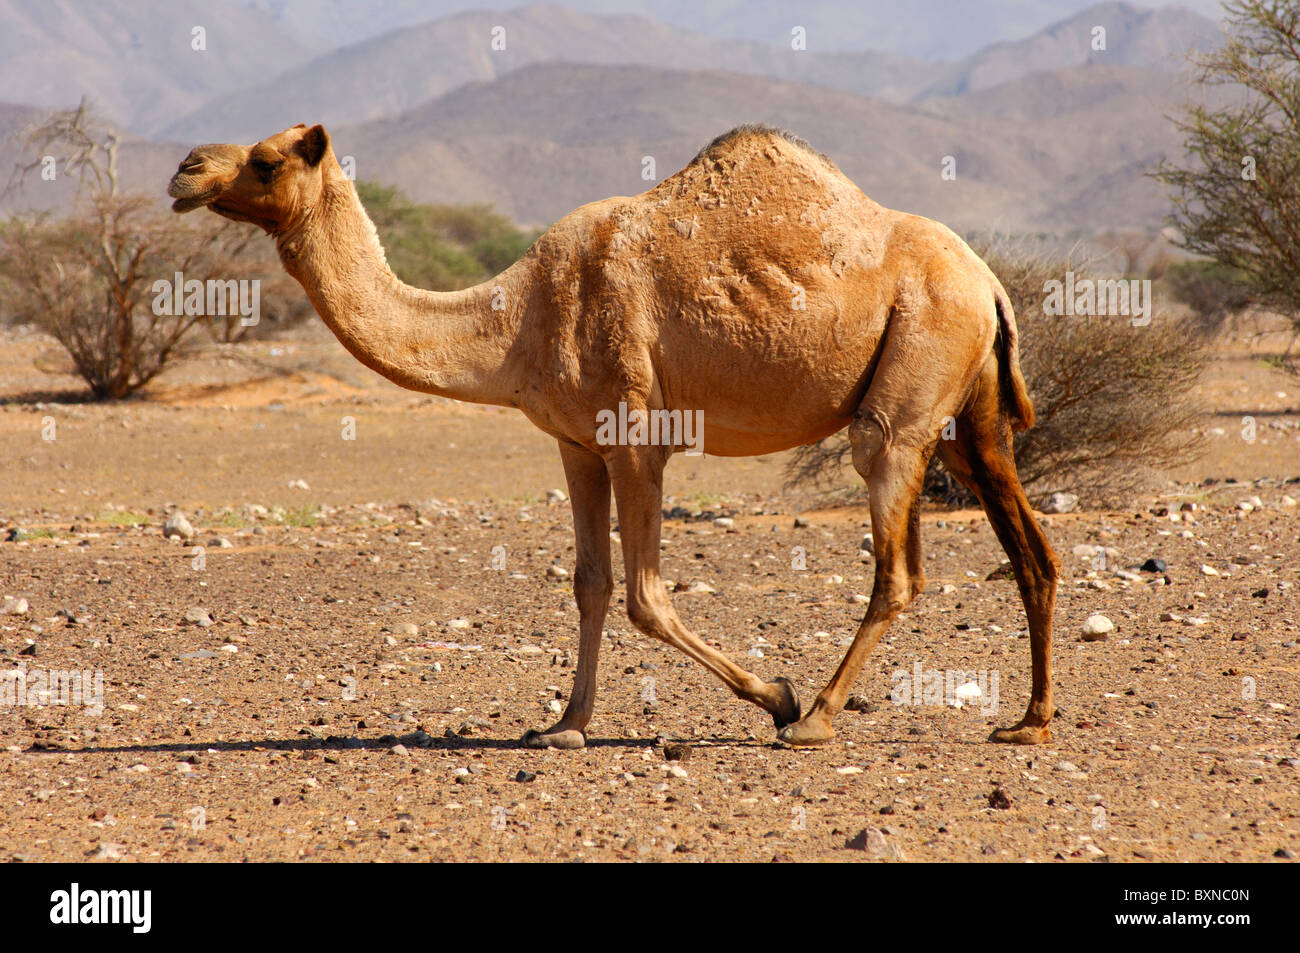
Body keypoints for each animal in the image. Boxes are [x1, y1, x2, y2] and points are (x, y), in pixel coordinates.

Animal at [167, 122, 1060, 749]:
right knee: (1031, 551)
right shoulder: (576, 443)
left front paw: (775, 694)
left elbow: (646, 595)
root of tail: (989, 281)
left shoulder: (637, 435)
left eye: (266, 161)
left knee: (897, 557)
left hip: (911, 381)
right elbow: (589, 583)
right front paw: (563, 723)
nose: (185, 169)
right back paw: (1029, 720)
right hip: (969, 416)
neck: (516, 316)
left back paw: (817, 716)